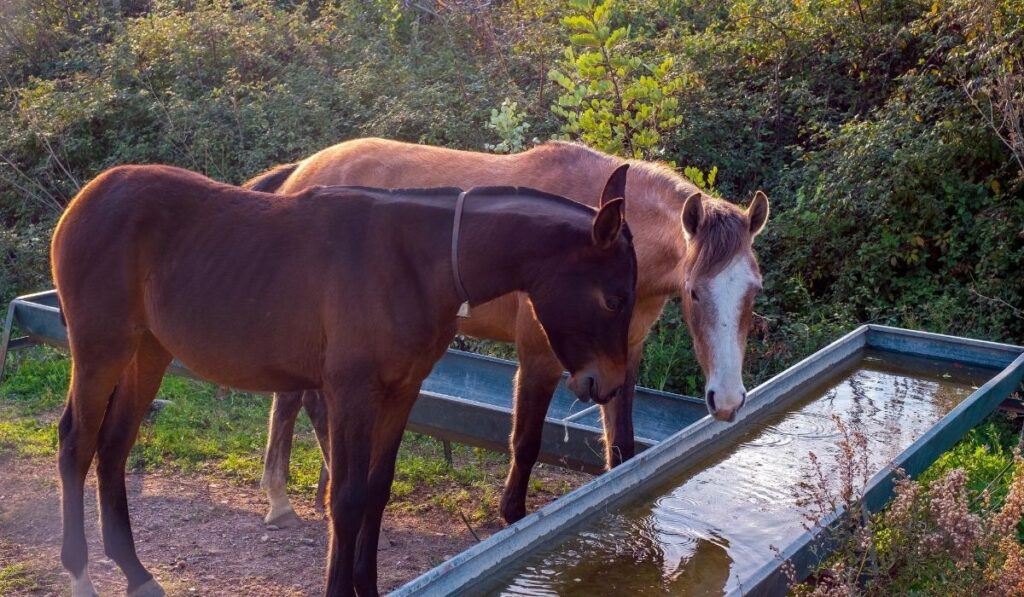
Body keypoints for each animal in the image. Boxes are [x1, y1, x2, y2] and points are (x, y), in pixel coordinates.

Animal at [51, 164, 637, 597]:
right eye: (614, 298)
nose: (606, 384)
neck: (414, 261)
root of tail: (88, 195)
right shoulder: (351, 393)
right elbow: (347, 497)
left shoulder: (400, 393)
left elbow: (376, 491)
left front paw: (368, 586)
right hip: (101, 348)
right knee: (77, 443)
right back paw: (81, 575)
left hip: (146, 352)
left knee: (114, 445)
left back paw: (136, 573)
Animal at [246, 138, 770, 526]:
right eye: (695, 292)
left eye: (754, 290)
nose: (727, 401)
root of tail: (301, 171)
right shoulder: (539, 357)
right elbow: (525, 441)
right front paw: (512, 514)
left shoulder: (624, 356)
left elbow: (622, 445)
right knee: (288, 403)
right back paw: (282, 501)